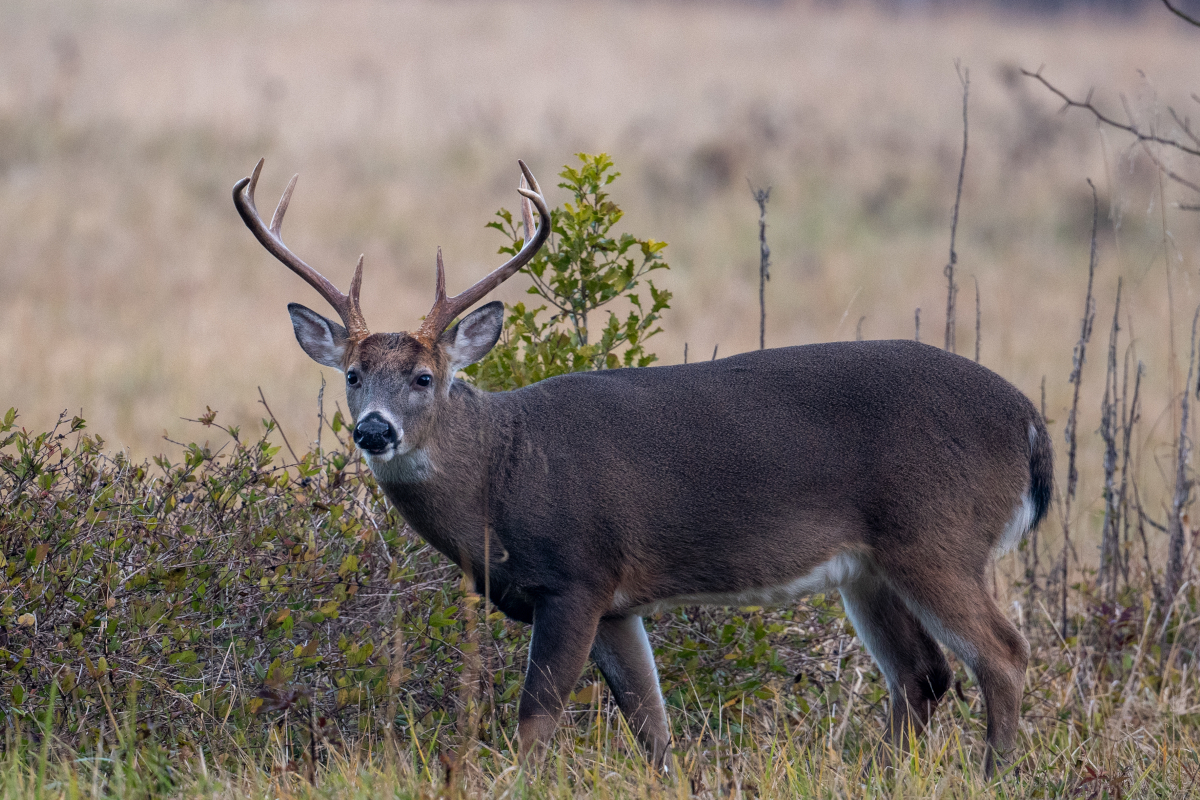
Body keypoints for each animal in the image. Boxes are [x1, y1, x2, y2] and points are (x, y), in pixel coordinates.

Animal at [233, 158, 1052, 778]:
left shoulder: (576, 574)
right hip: (869, 567)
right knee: (922, 673)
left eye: (424, 377)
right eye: (351, 374)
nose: (373, 430)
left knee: (1003, 655)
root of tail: (1029, 420)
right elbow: (651, 725)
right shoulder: (619, 602)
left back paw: (994, 774)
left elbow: (536, 720)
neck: (504, 469)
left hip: (937, 536)